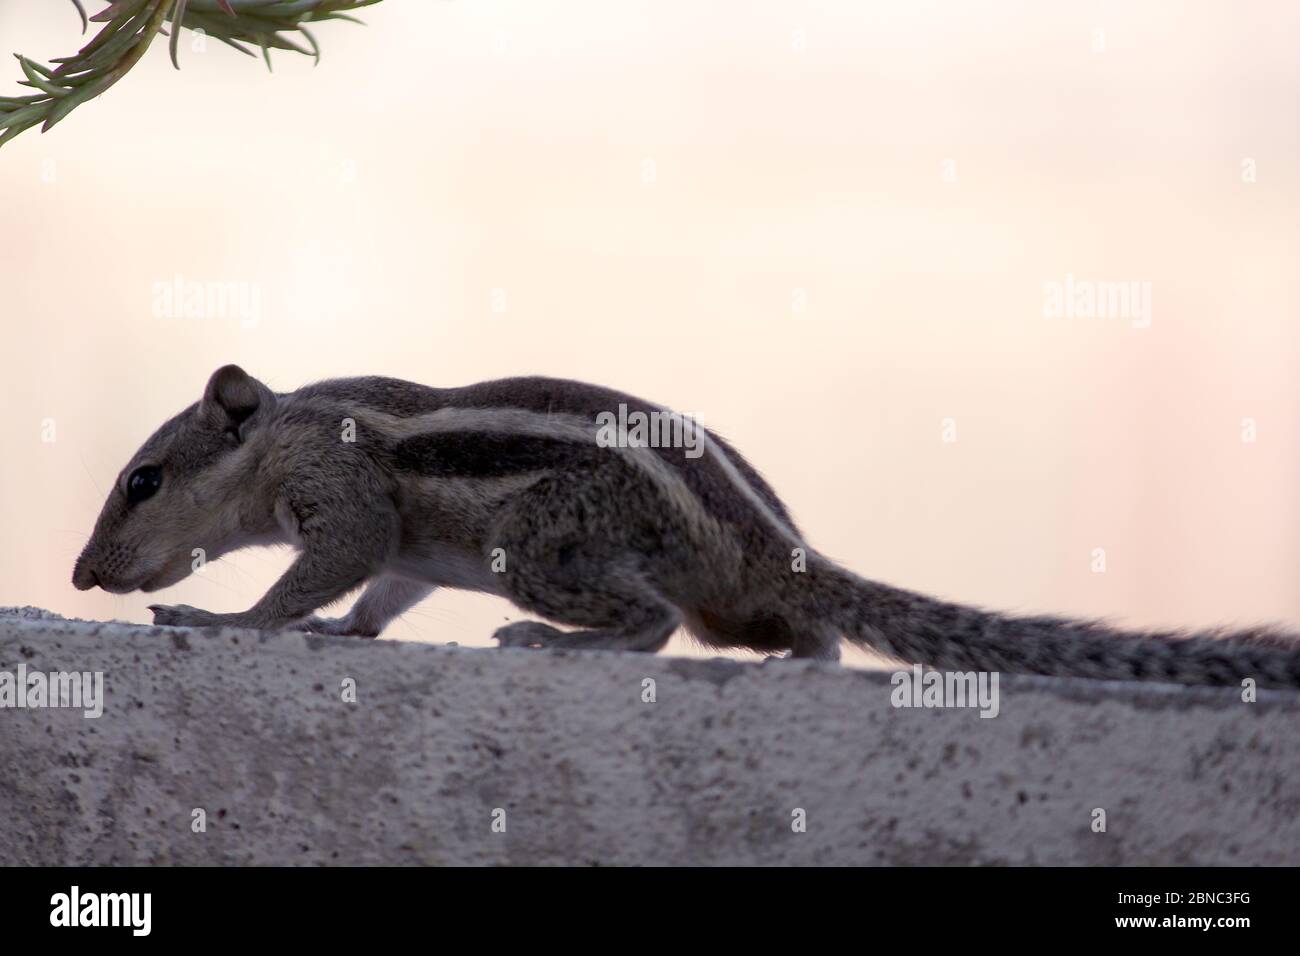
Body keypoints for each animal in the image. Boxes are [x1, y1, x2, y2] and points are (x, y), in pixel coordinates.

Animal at [72, 364, 1300, 688]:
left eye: (141, 480)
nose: (83, 575)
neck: (283, 427)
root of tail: (773, 548)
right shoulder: (398, 554)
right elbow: (380, 594)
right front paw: (340, 633)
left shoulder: (346, 498)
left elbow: (326, 568)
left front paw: (229, 618)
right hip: (732, 610)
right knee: (795, 635)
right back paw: (799, 656)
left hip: (550, 548)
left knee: (650, 620)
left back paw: (558, 639)